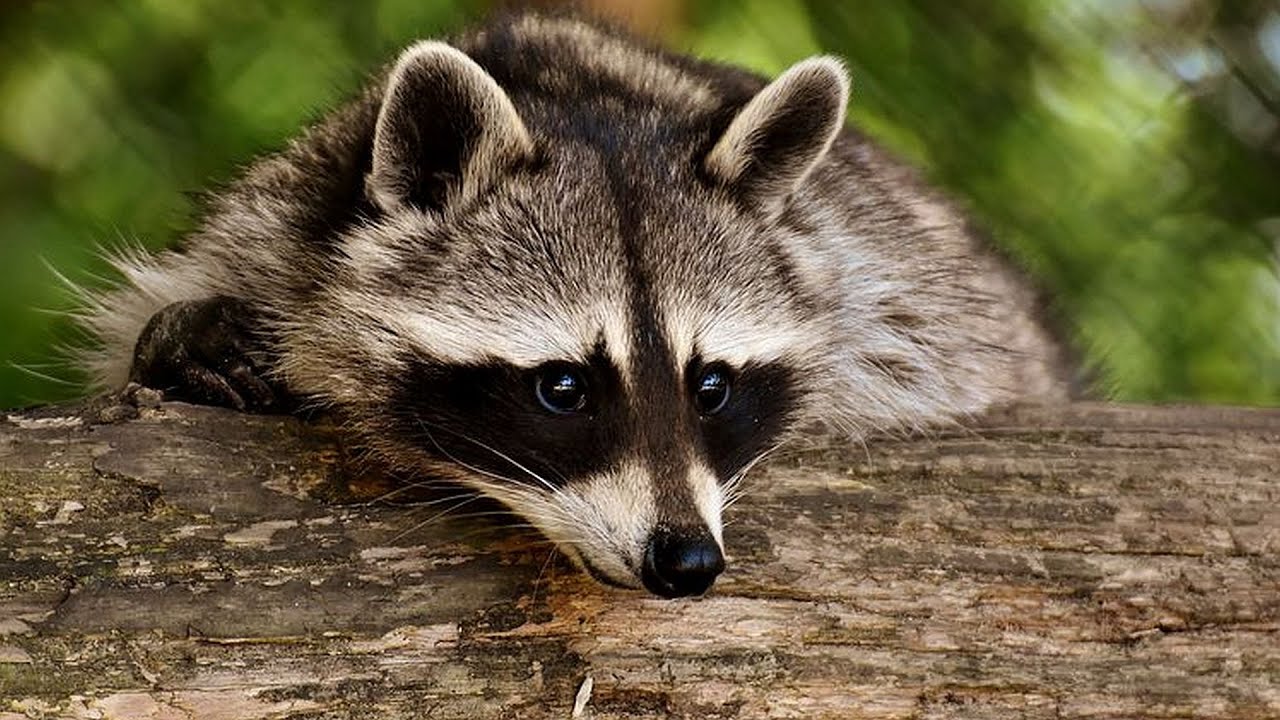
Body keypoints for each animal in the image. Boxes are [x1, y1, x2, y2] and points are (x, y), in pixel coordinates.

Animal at [79, 13, 1071, 598]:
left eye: (710, 385)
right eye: (563, 388)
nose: (687, 563)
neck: (577, 96)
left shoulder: (886, 279)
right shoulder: (271, 224)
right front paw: (183, 340)